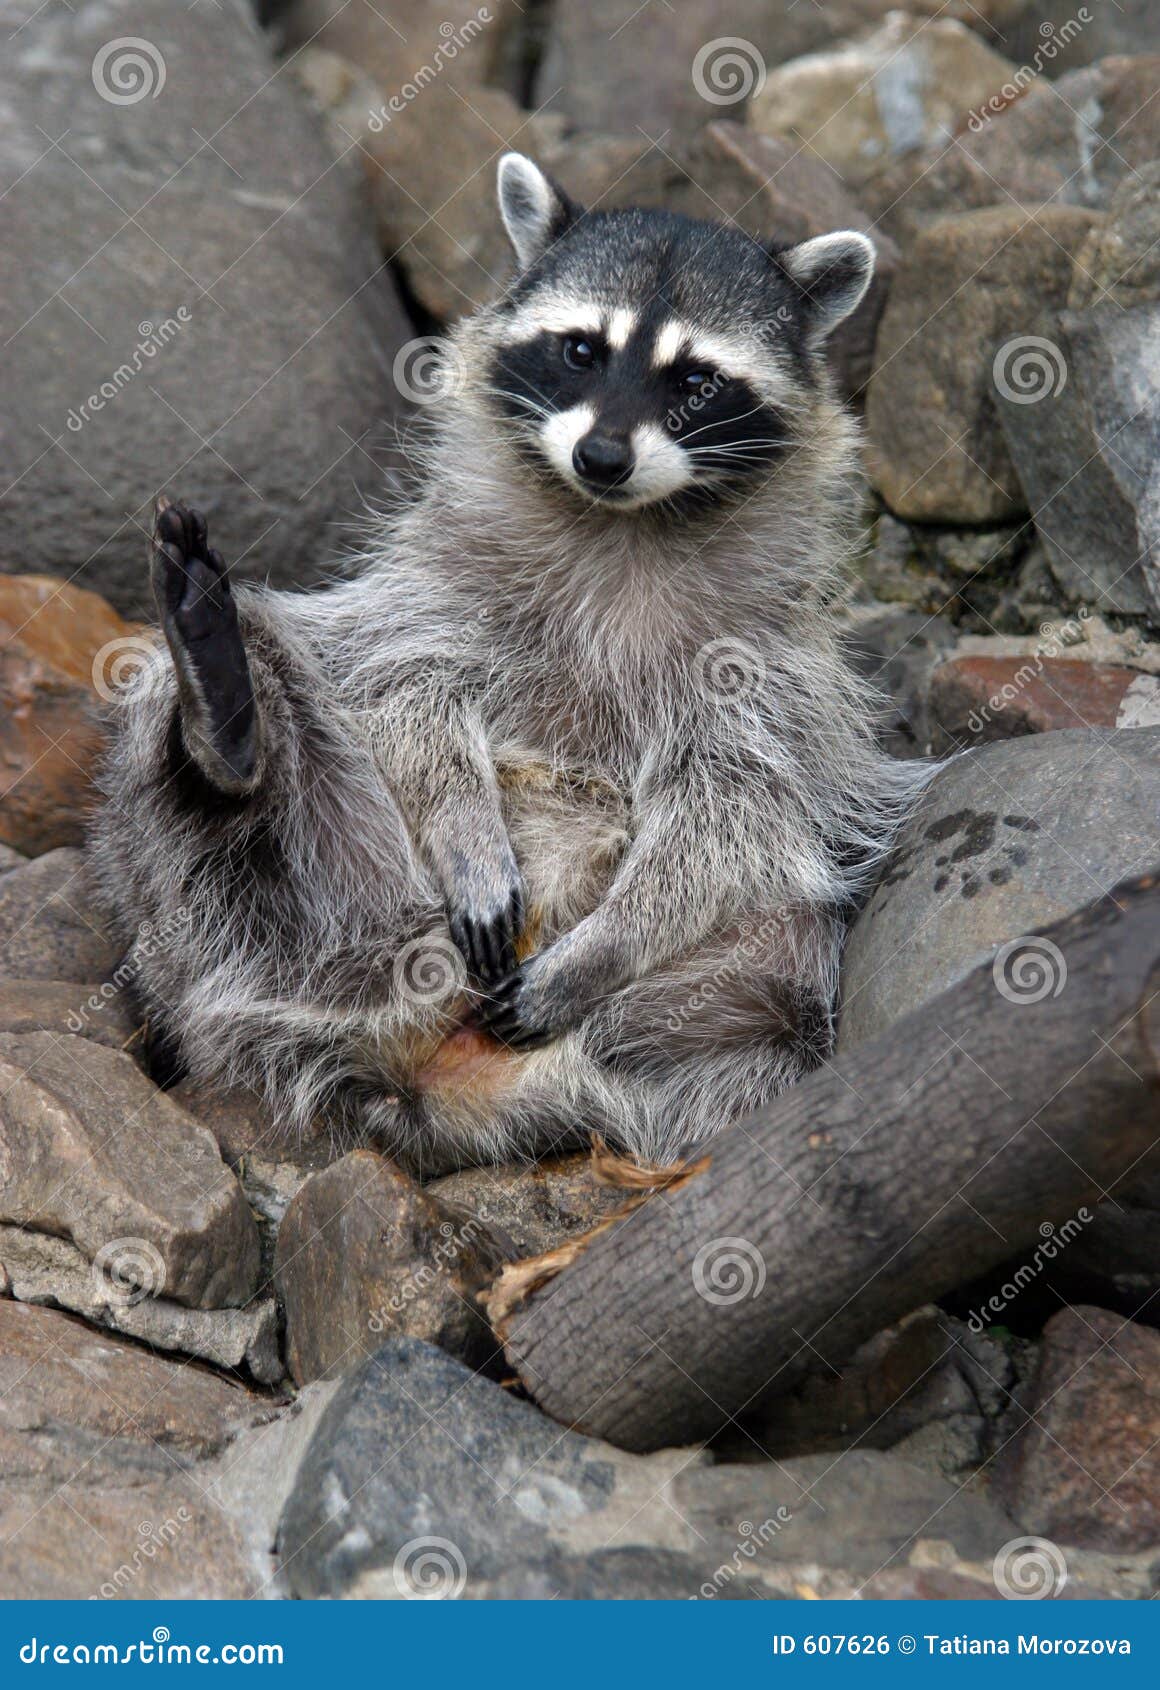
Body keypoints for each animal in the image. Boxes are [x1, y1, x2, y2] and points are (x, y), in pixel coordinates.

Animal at [90, 154, 927, 1176]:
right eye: (580, 350)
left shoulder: (773, 665)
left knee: (789, 946)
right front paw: (465, 824)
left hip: (724, 1006)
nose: (602, 454)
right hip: (317, 898)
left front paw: (613, 940)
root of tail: (411, 1054)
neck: (620, 523)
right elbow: (407, 689)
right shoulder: (438, 578)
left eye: (695, 378)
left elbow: (736, 811)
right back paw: (223, 722)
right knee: (246, 717)